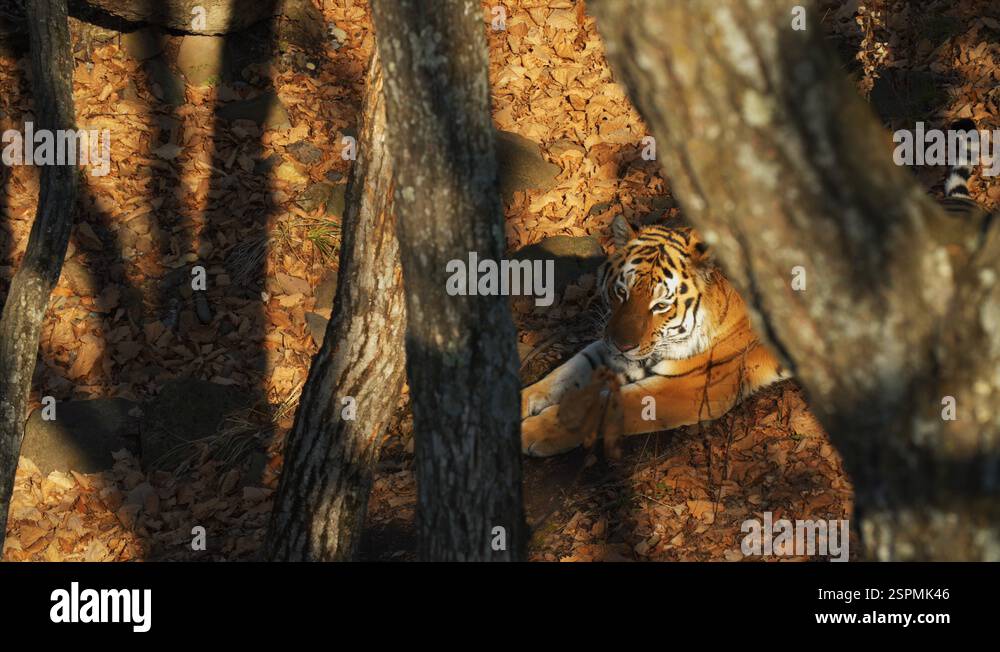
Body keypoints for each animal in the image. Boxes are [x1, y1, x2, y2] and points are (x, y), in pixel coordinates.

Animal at [520, 215, 787, 457]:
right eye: (622, 292)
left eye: (660, 306)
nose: (622, 346)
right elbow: (562, 375)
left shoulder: (687, 384)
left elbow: (604, 404)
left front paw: (535, 431)